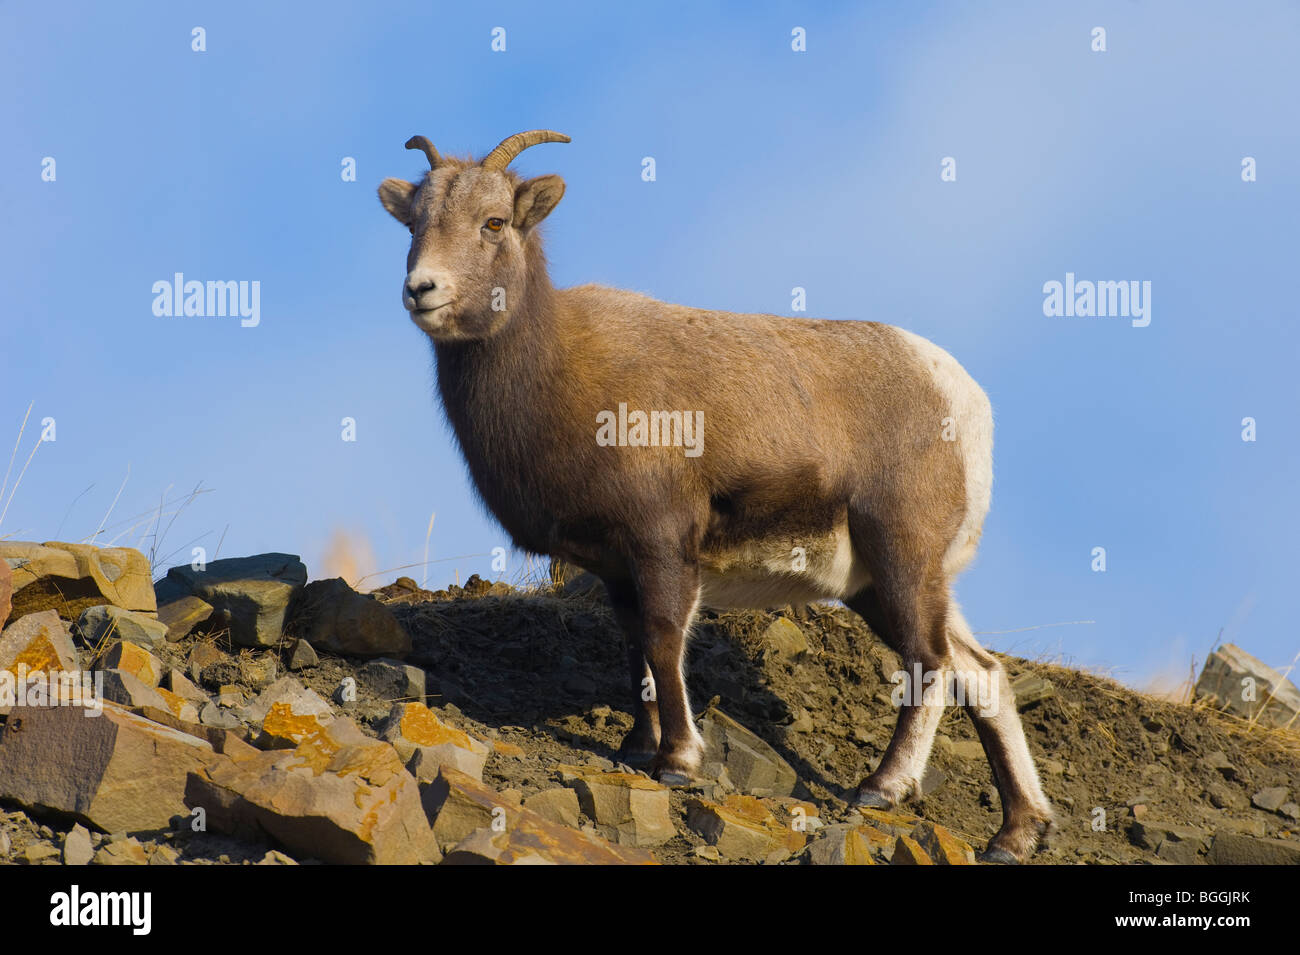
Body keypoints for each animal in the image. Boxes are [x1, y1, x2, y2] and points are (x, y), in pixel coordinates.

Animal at [378, 130, 1056, 862]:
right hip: (884, 583)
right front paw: (637, 748)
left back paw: (881, 788)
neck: (561, 372)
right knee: (981, 673)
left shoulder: (662, 543)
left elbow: (665, 639)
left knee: (929, 663)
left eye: (494, 222)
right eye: (413, 224)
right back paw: (1016, 833)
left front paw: (678, 760)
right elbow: (636, 649)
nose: (421, 290)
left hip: (901, 559)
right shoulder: (617, 567)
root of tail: (964, 399)